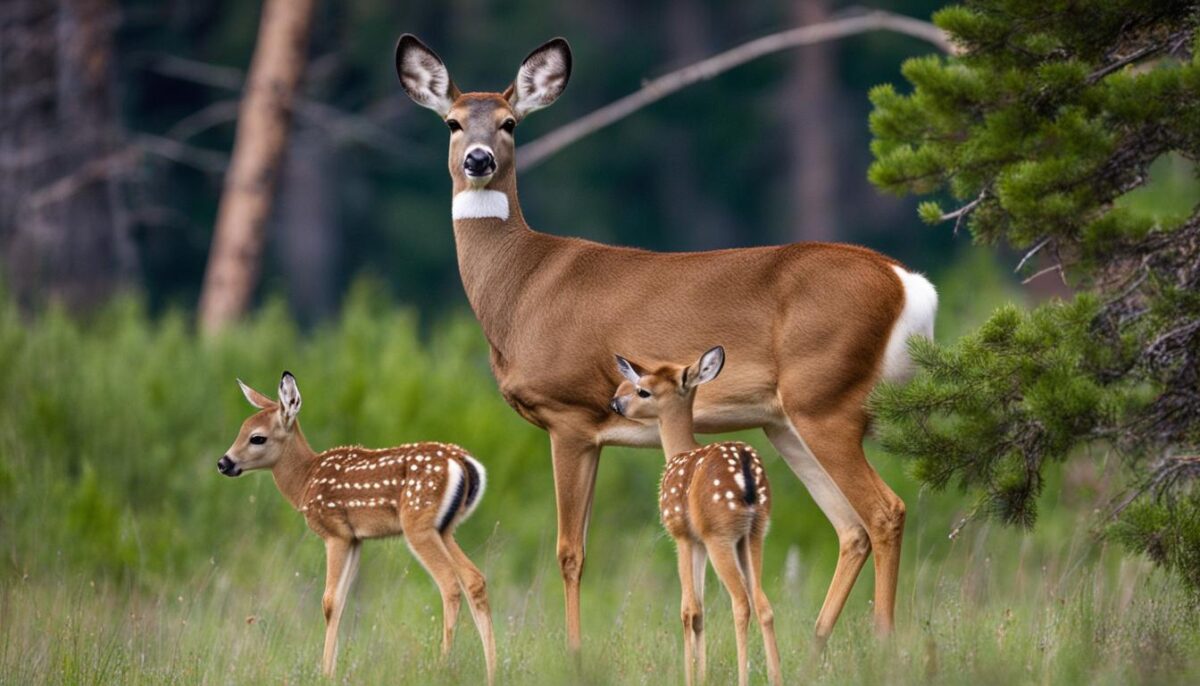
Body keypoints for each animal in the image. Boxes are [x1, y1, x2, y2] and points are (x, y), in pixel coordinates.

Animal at [217, 372, 497, 683]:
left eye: (257, 438)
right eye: (241, 429)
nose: (223, 463)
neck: (305, 480)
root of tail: (463, 461)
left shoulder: (335, 532)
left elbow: (328, 601)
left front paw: (325, 673)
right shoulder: (355, 538)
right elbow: (340, 602)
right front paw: (332, 668)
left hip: (418, 524)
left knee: (449, 583)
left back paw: (442, 667)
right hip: (445, 528)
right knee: (474, 579)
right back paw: (492, 673)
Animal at [610, 346, 781, 686]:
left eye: (643, 390)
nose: (615, 404)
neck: (678, 451)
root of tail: (746, 471)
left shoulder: (682, 534)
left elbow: (688, 609)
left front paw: (690, 677)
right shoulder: (698, 541)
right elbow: (700, 611)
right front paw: (701, 675)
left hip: (720, 533)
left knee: (741, 602)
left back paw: (744, 677)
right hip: (755, 532)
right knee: (763, 602)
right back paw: (777, 677)